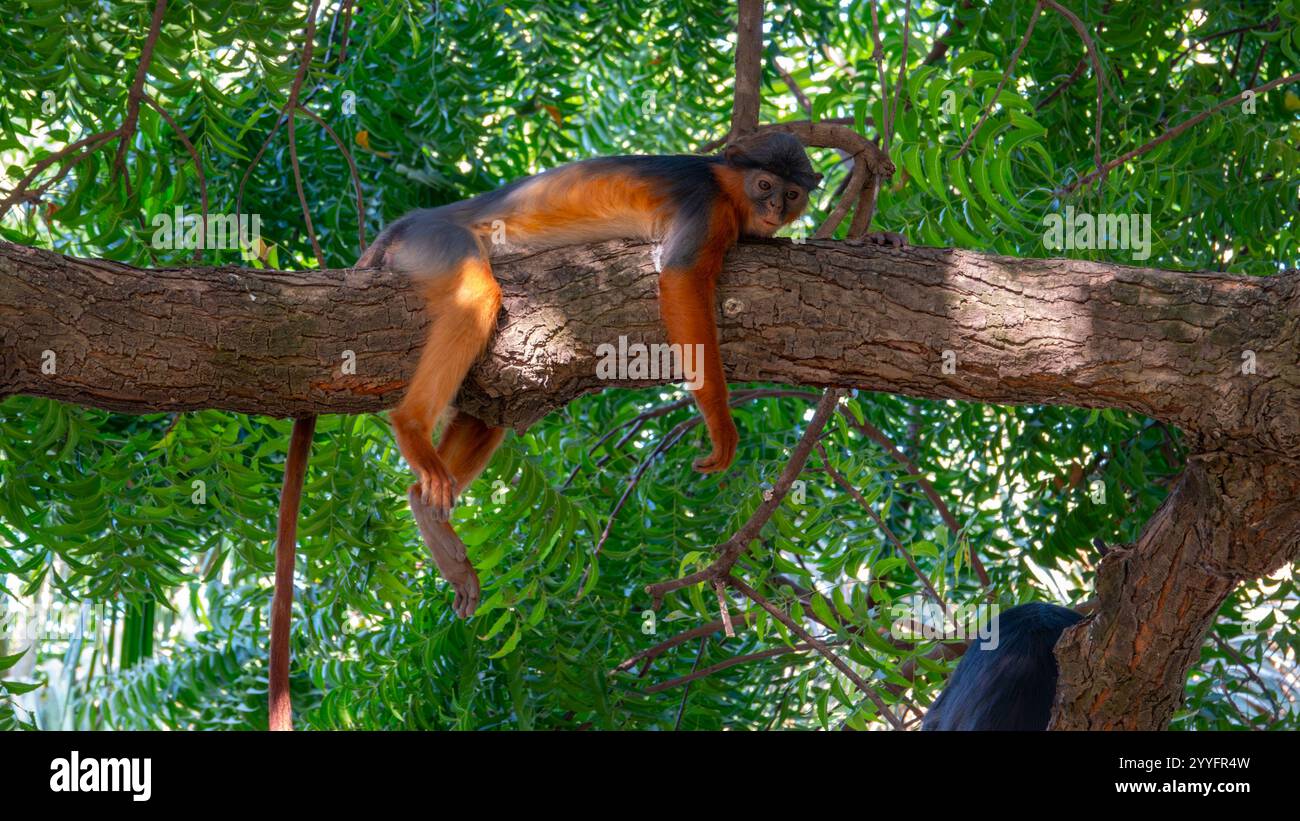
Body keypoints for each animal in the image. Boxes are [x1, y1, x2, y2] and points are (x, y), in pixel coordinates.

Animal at [357, 131, 822, 618]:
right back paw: (412, 427)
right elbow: (681, 278)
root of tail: (408, 223)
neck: (726, 186)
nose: (775, 209)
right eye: (764, 185)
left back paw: (425, 509)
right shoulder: (707, 210)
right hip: (436, 242)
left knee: (491, 411)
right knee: (476, 296)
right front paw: (720, 422)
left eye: (792, 194)